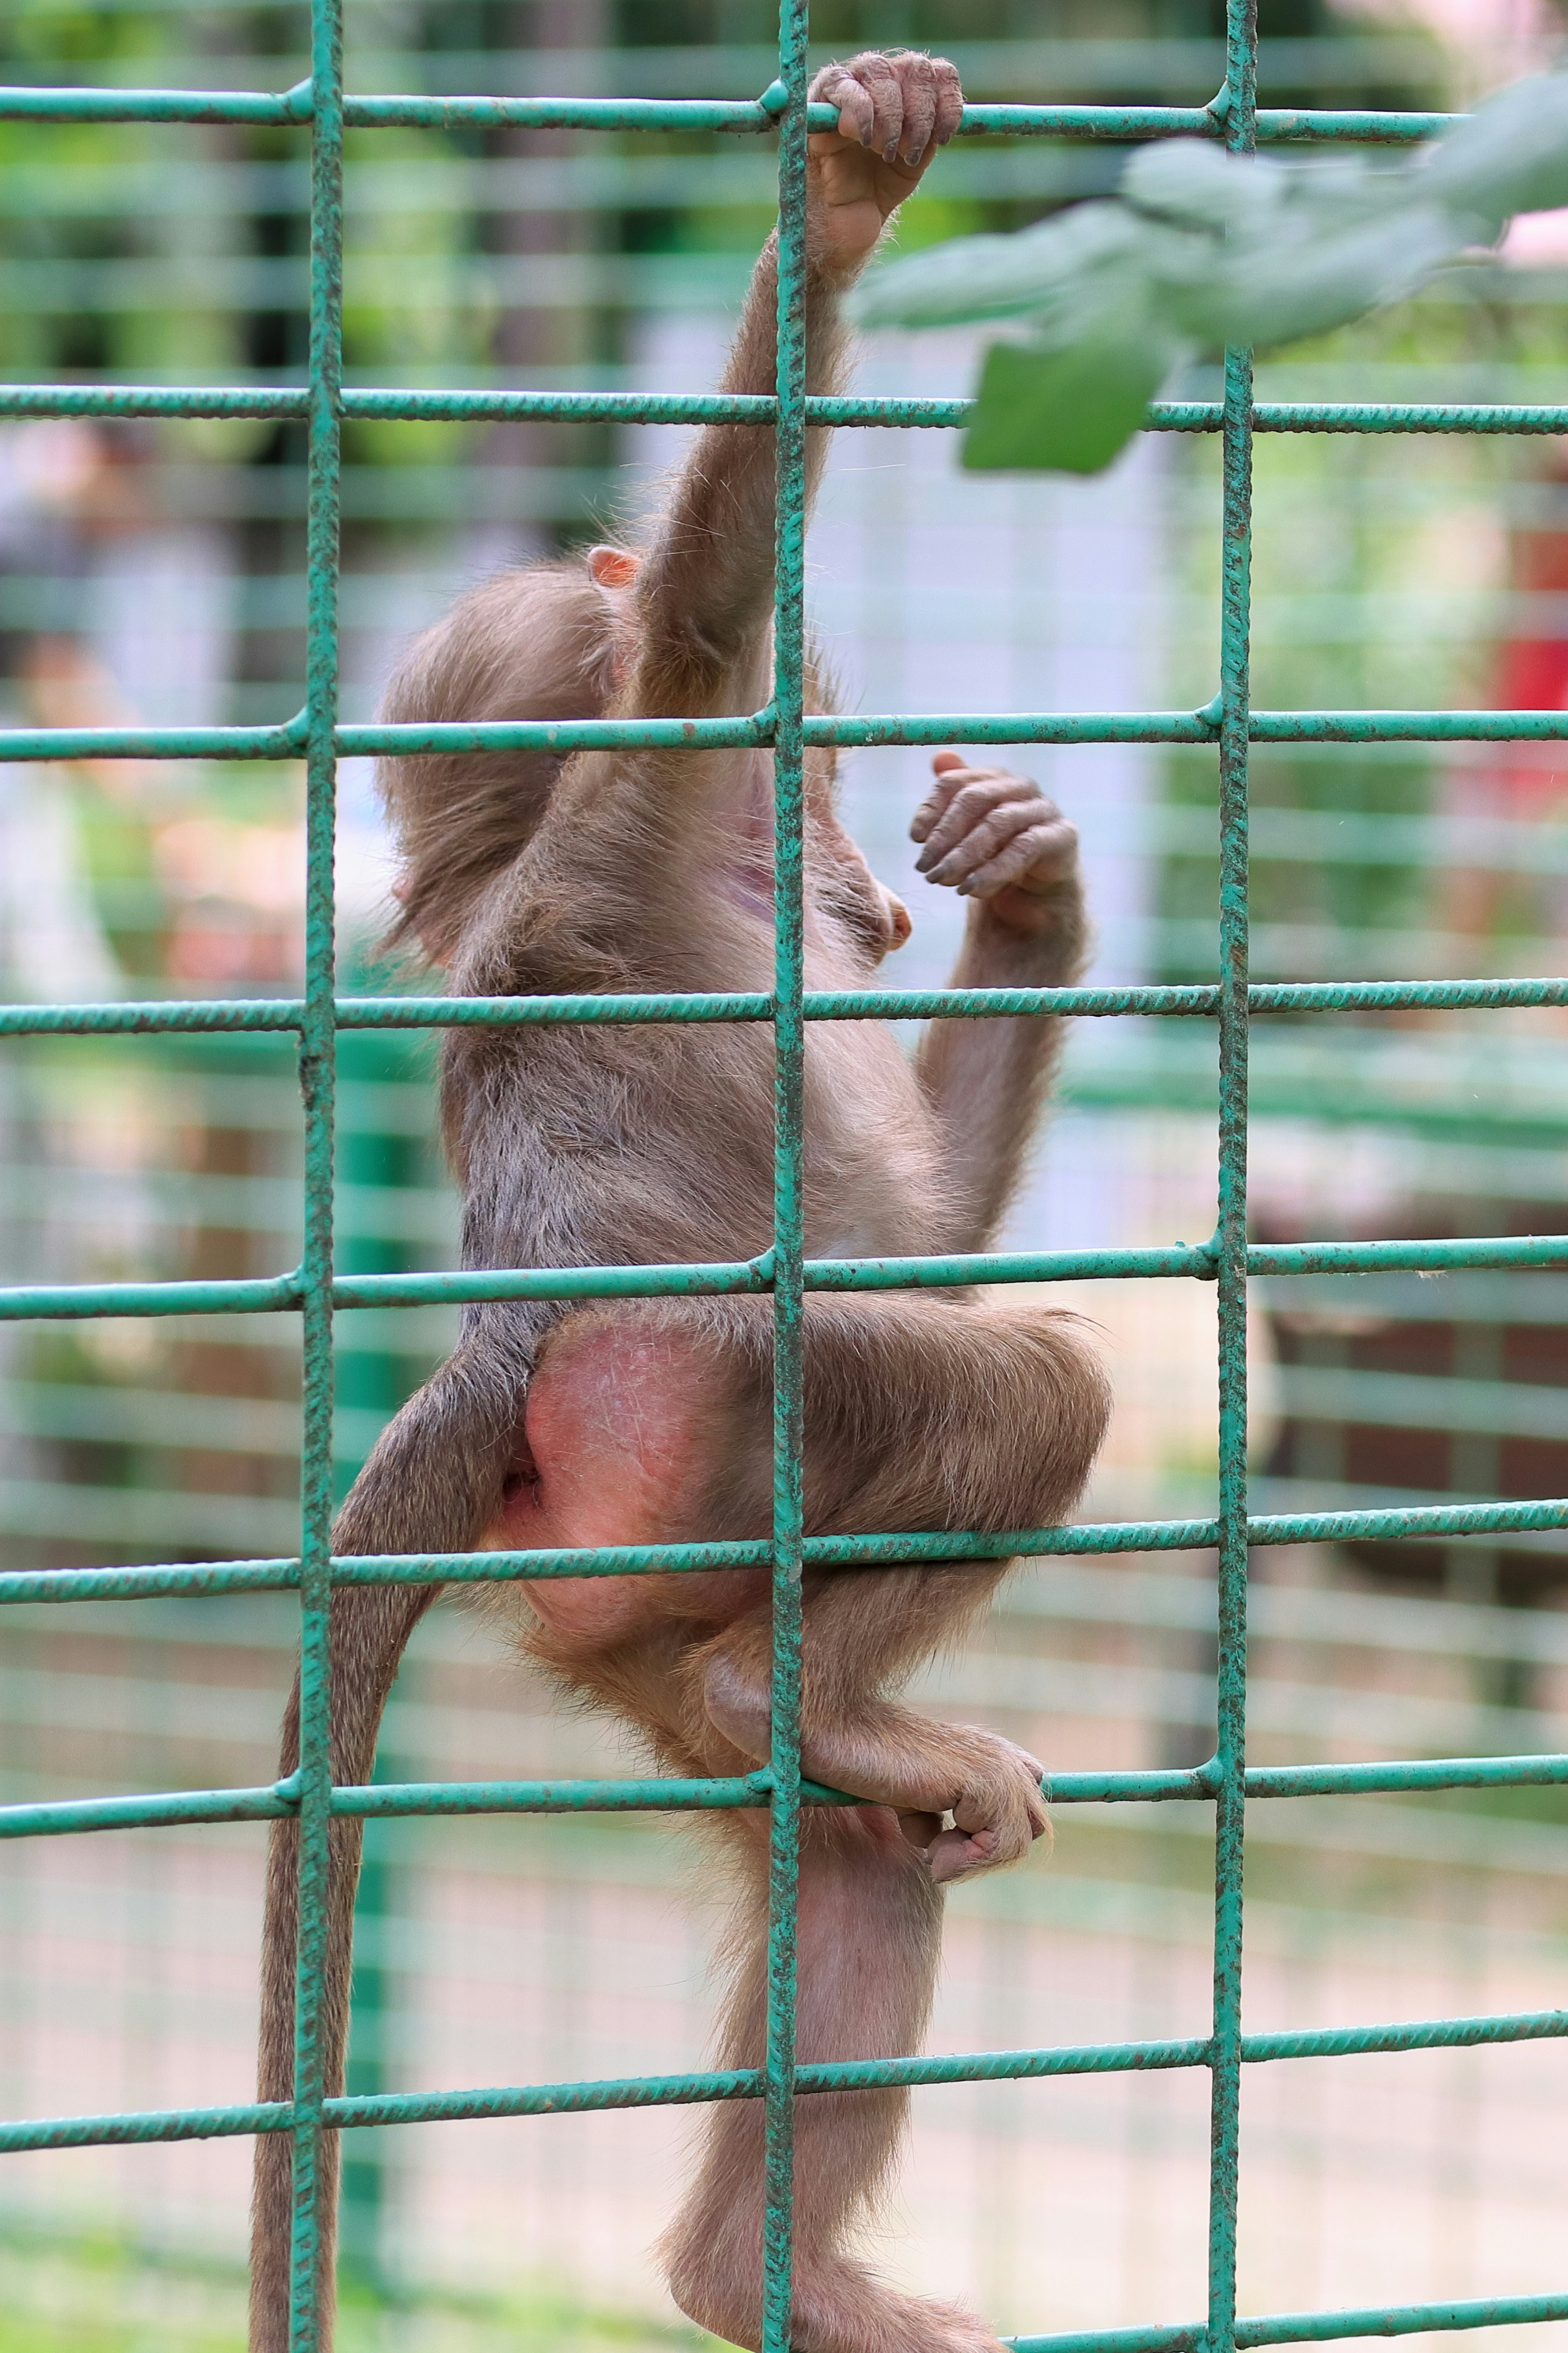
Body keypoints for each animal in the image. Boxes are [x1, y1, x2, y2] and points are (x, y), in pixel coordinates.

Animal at [251, 49, 1111, 2353]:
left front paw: (1026, 876)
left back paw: (761, 2269)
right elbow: (711, 598)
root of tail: (504, 1356)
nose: (873, 893)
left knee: (853, 1853)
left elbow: (924, 1198)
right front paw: (841, 202)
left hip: (621, 1590)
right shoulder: (651, 802)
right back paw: (804, 1704)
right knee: (1022, 1390)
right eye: (807, 776)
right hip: (709, 1407)